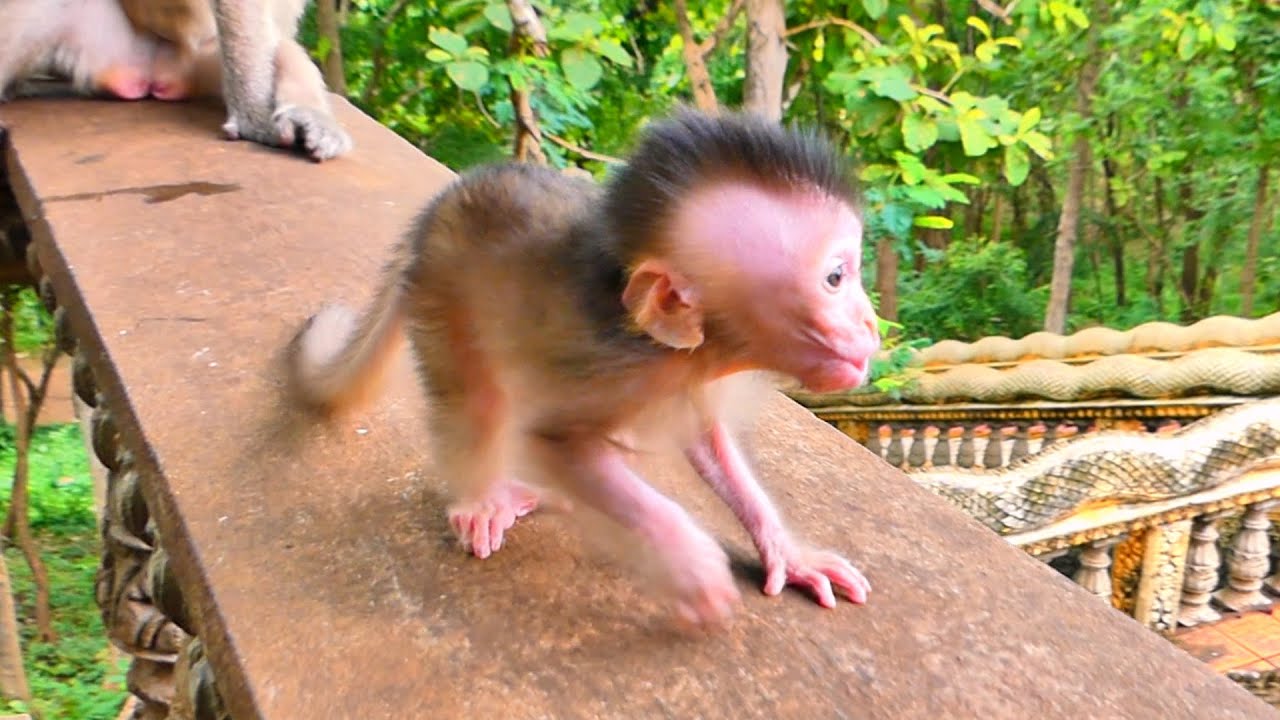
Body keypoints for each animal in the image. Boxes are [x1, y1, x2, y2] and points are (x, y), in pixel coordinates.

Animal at [287, 110, 879, 627]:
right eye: (835, 278)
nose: (872, 323)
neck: (678, 348)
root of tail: (436, 211)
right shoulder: (618, 372)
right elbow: (556, 442)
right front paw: (690, 564)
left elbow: (709, 442)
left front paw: (788, 552)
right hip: (440, 290)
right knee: (478, 400)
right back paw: (482, 499)